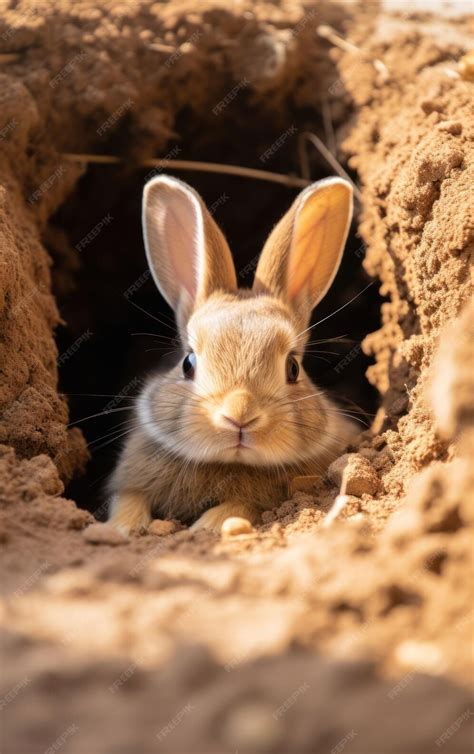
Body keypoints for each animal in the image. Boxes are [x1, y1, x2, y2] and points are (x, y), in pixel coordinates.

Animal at [108, 174, 356, 534]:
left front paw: (207, 528)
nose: (240, 415)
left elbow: (237, 507)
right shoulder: (131, 477)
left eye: (293, 368)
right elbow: (128, 498)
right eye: (188, 363)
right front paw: (121, 527)